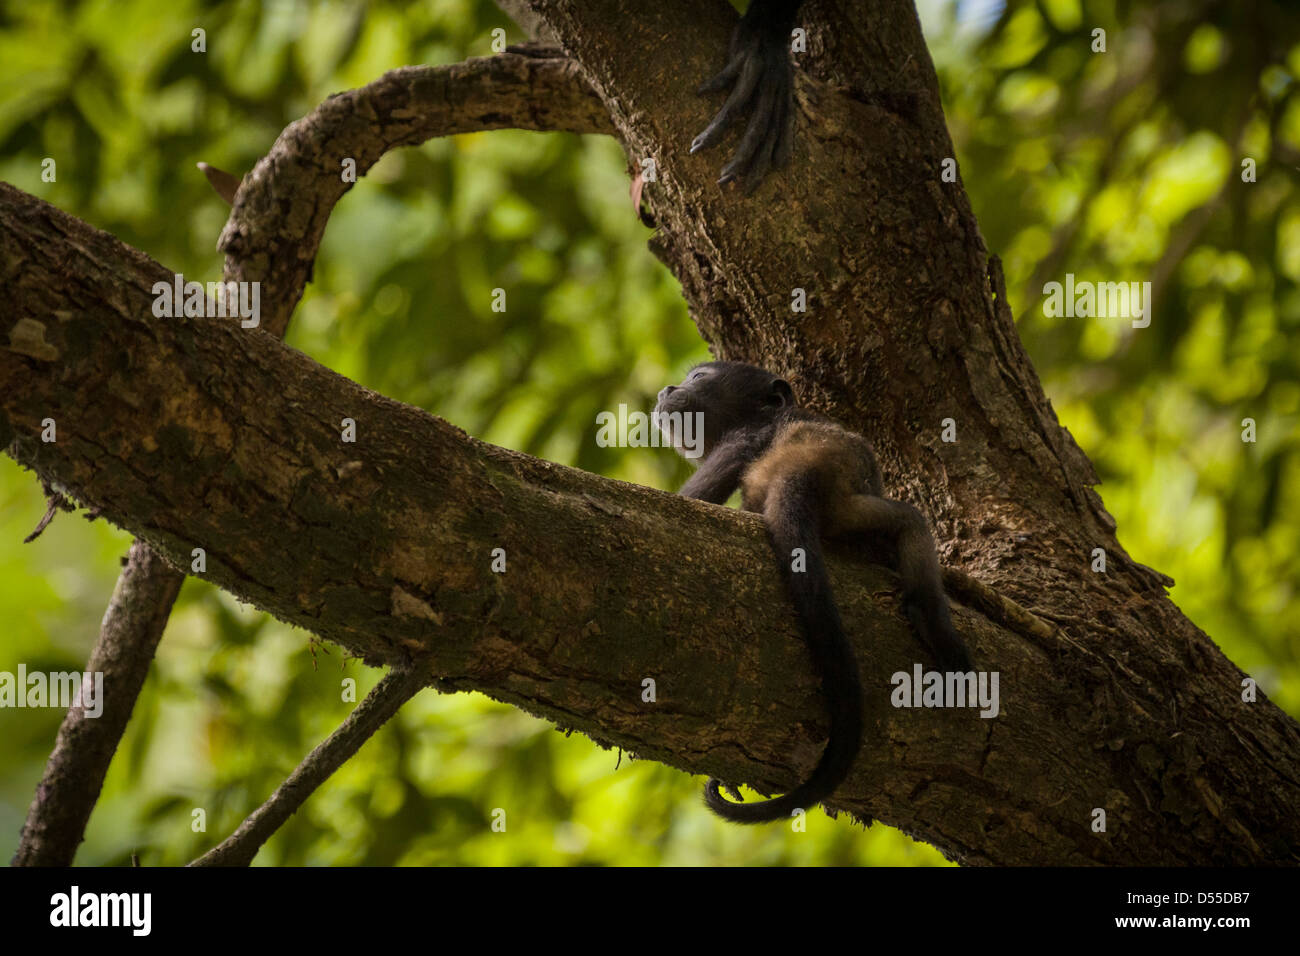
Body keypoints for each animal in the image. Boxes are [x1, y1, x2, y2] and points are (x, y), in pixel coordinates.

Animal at [654, 361, 972, 823]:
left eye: (699, 377)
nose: (667, 389)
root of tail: (802, 469)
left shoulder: (739, 441)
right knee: (910, 522)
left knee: (910, 521)